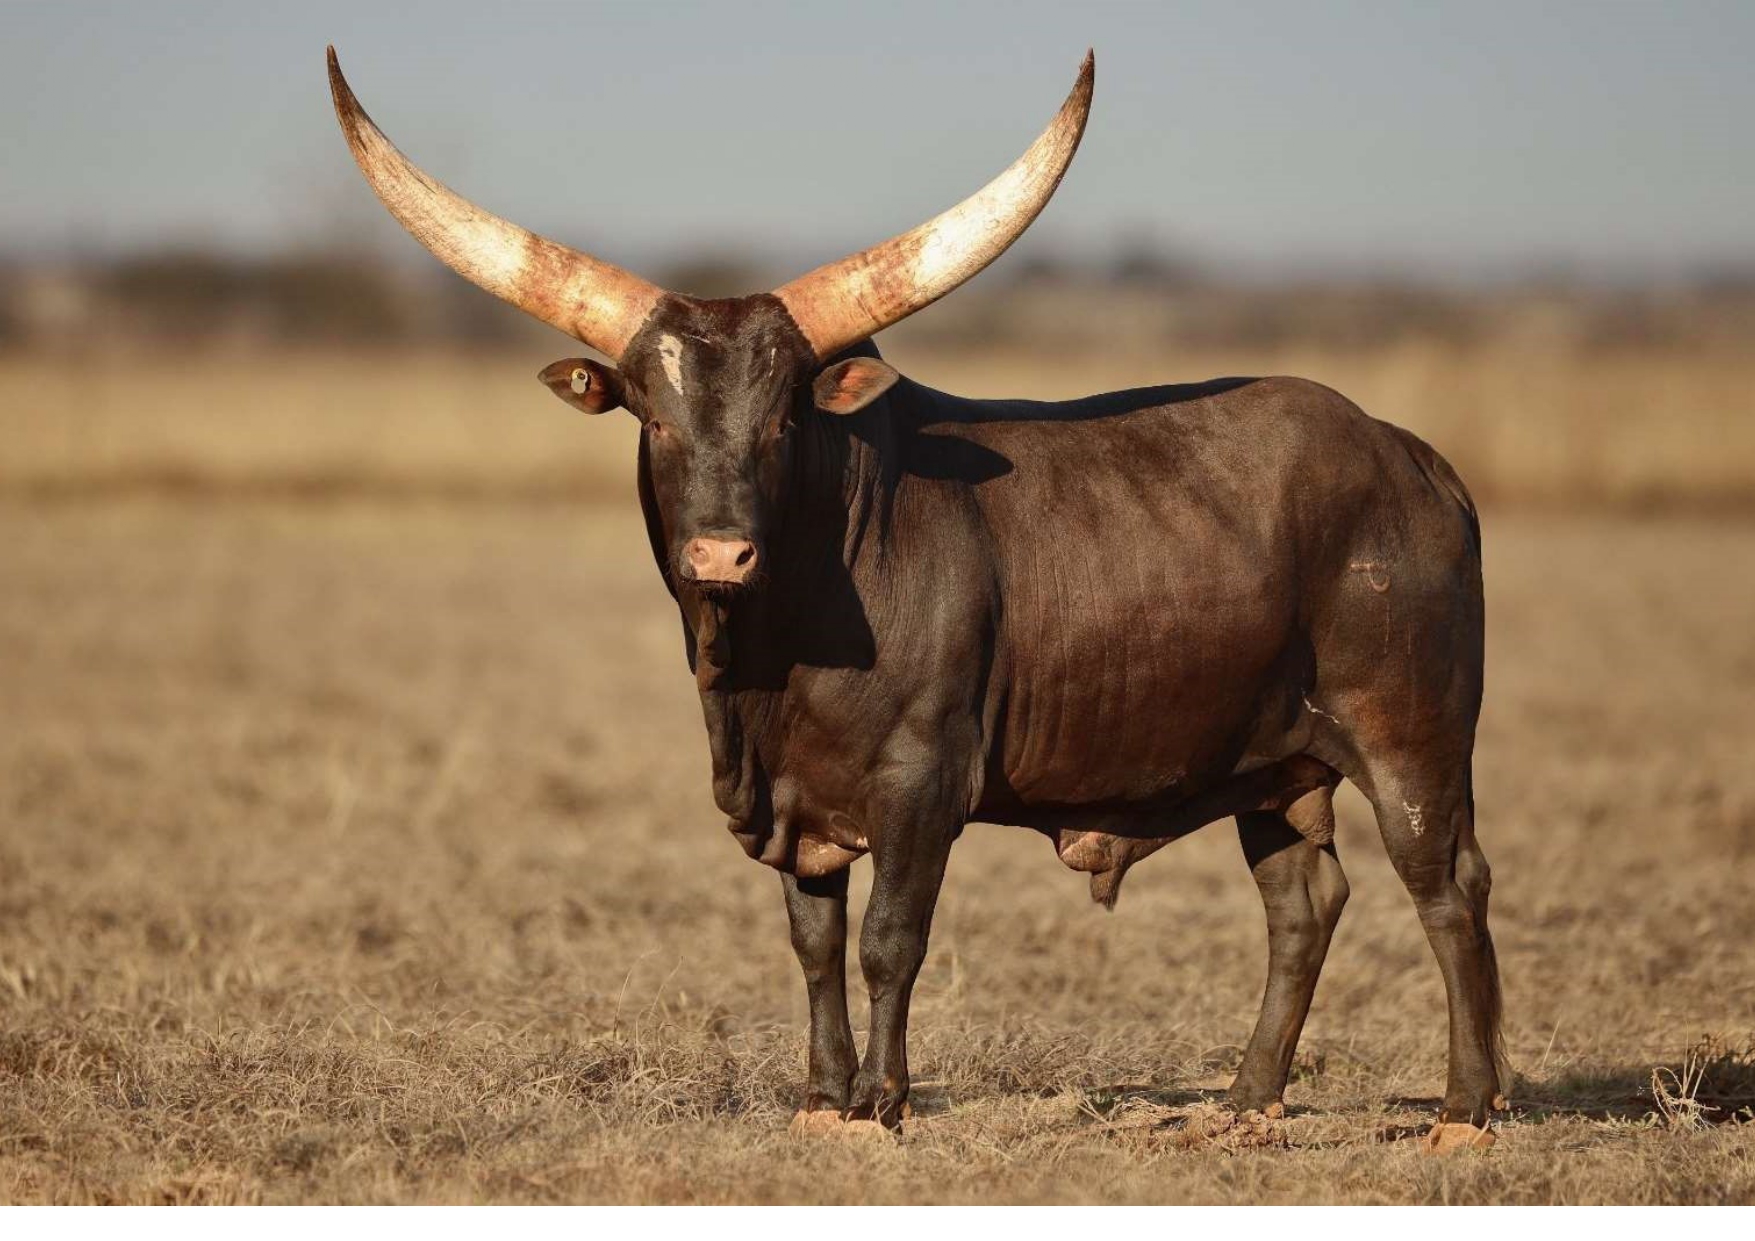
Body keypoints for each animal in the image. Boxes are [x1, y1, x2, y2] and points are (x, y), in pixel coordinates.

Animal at [327, 46, 1510, 1152]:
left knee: (1448, 885)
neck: (768, 664)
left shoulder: (923, 779)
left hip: (1413, 740)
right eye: (653, 415)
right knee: (1303, 903)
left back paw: (1465, 1108)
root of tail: (1411, 456)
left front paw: (880, 1104)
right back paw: (1246, 1100)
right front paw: (820, 1099)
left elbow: (891, 937)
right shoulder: (795, 804)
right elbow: (814, 944)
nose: (720, 553)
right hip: (1272, 763)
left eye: (783, 417)